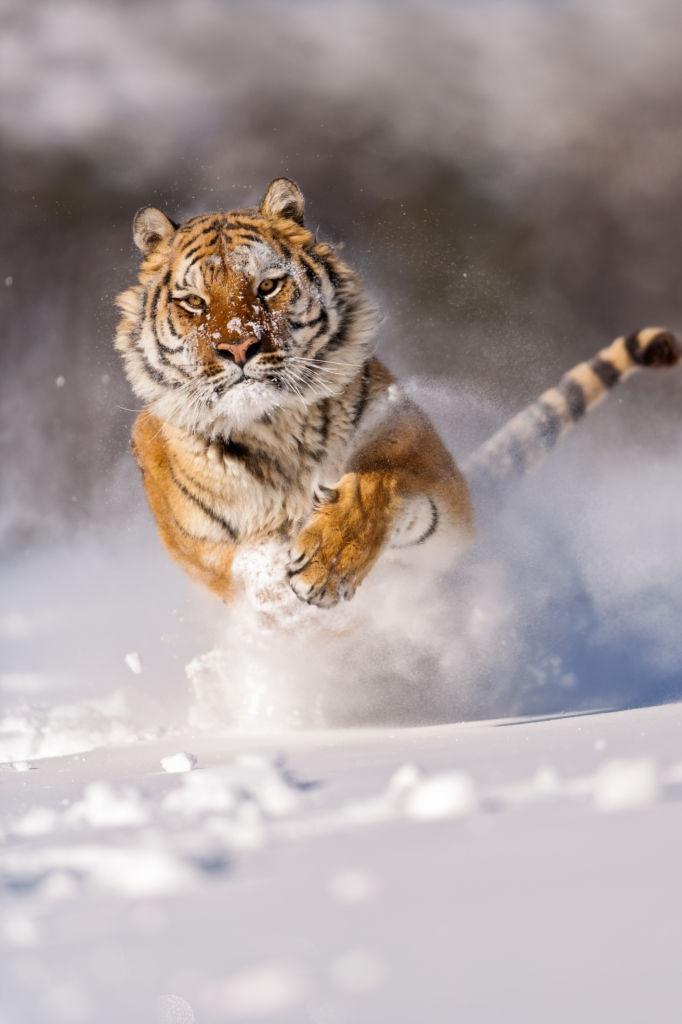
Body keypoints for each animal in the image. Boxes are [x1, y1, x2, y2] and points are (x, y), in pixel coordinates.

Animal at [115, 177, 680, 611]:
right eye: (193, 302)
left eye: (268, 286)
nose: (238, 347)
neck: (275, 429)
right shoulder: (201, 551)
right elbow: (246, 568)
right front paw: (278, 590)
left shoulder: (440, 490)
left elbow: (380, 482)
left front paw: (327, 562)